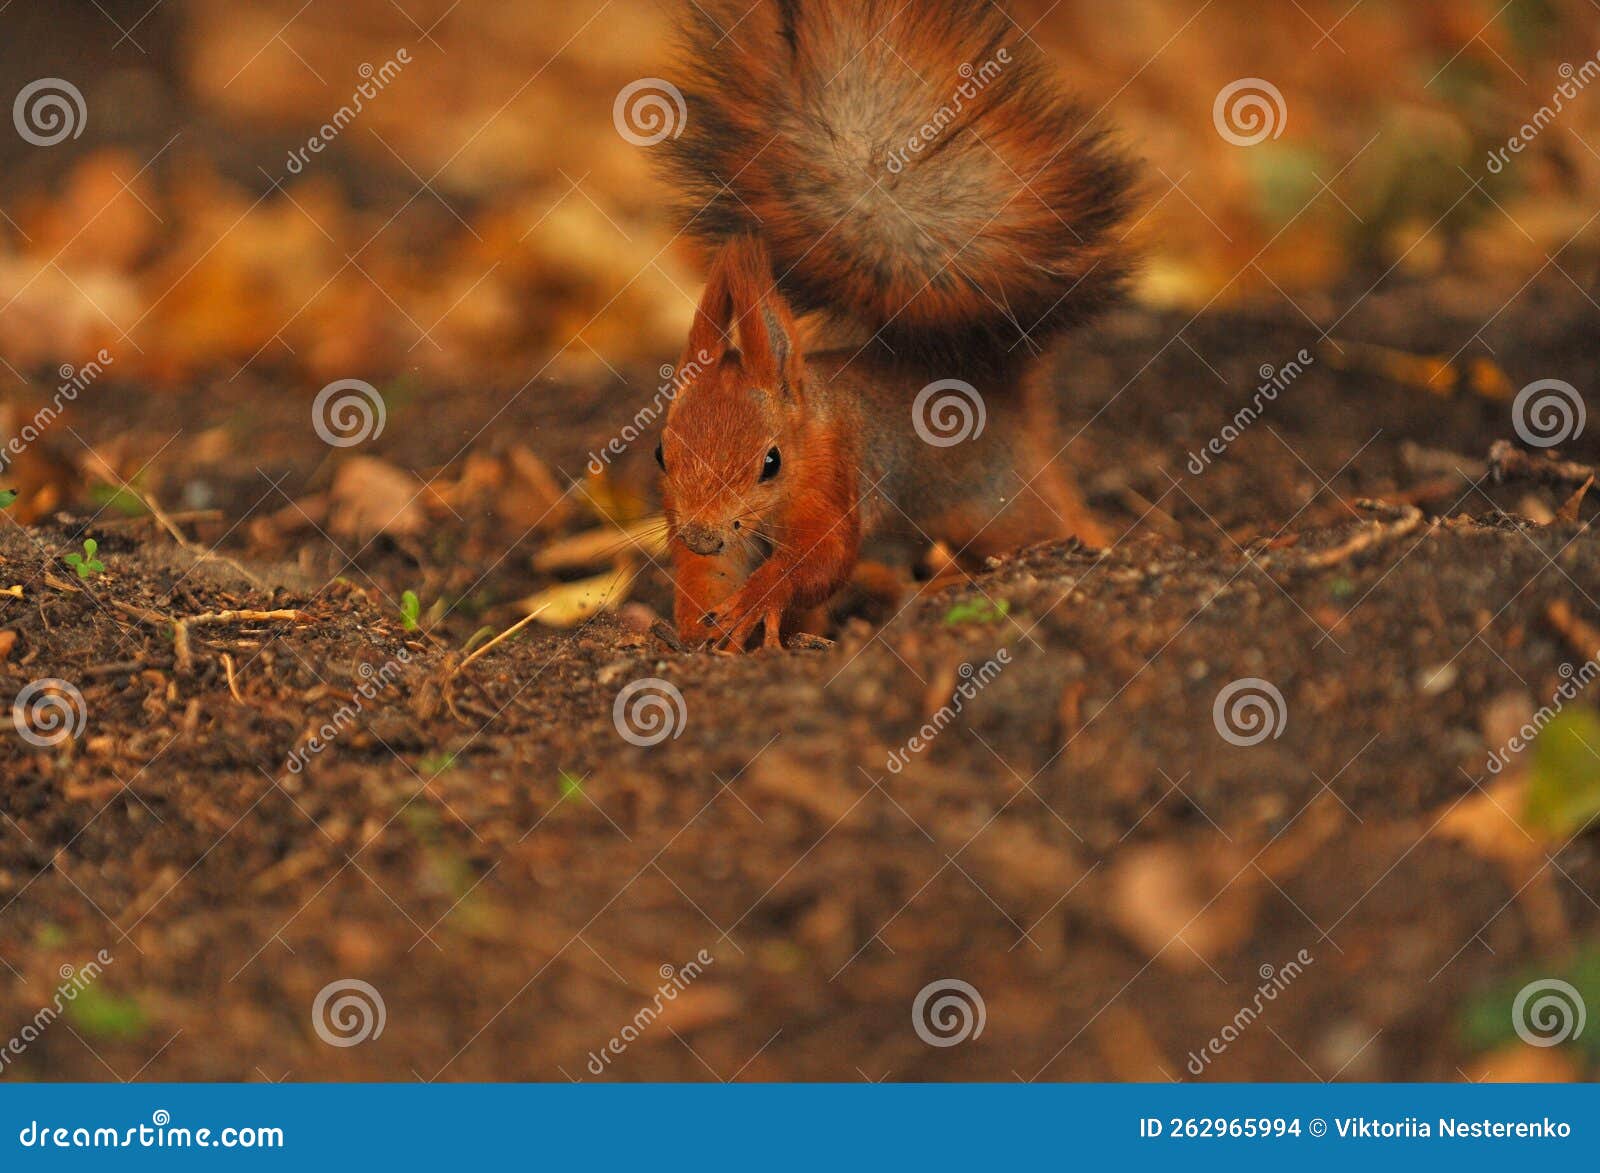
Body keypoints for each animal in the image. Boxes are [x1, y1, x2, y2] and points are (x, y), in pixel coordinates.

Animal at [654, 0, 1137, 651]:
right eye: (660, 453)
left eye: (771, 462)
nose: (701, 534)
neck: (811, 421)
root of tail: (1002, 389)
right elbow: (713, 572)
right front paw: (694, 630)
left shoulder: (833, 474)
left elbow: (824, 556)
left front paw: (756, 601)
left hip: (1005, 501)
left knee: (1053, 522)